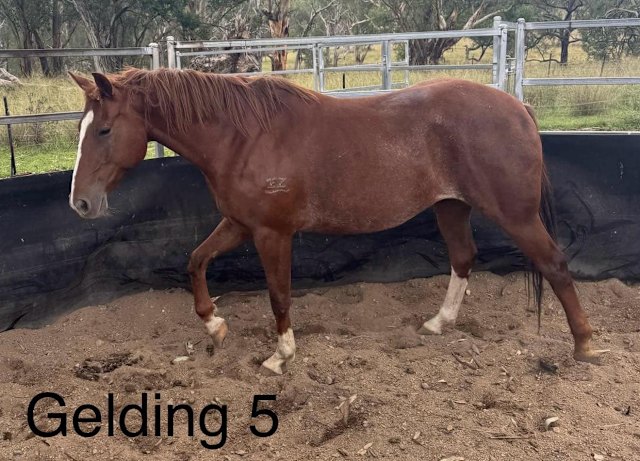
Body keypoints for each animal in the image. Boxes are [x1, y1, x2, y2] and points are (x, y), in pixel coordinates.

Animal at [68, 68, 606, 375]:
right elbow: (195, 261)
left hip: (516, 215)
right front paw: (214, 325)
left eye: (105, 129)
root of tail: (518, 107)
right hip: (451, 206)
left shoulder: (272, 234)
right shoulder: (238, 224)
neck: (243, 137)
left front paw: (280, 356)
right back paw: (439, 323)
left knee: (555, 265)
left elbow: (279, 295)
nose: (80, 204)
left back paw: (585, 346)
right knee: (463, 257)